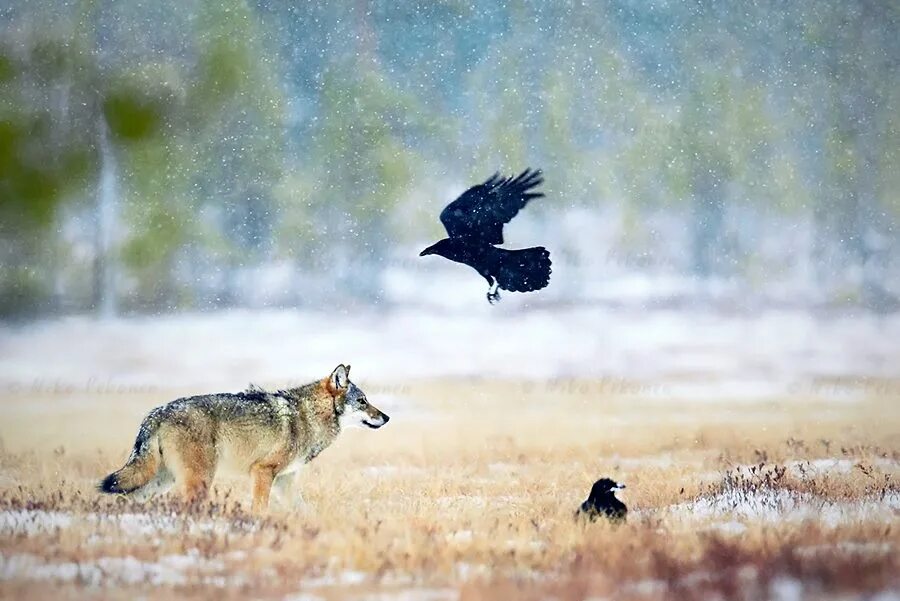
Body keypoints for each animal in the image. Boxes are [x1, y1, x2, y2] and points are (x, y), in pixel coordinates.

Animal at [98, 366, 386, 510]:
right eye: (363, 401)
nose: (387, 417)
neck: (307, 416)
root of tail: (157, 412)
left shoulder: (285, 482)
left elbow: (303, 510)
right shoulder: (263, 471)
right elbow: (260, 509)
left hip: (162, 480)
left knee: (125, 499)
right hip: (198, 481)